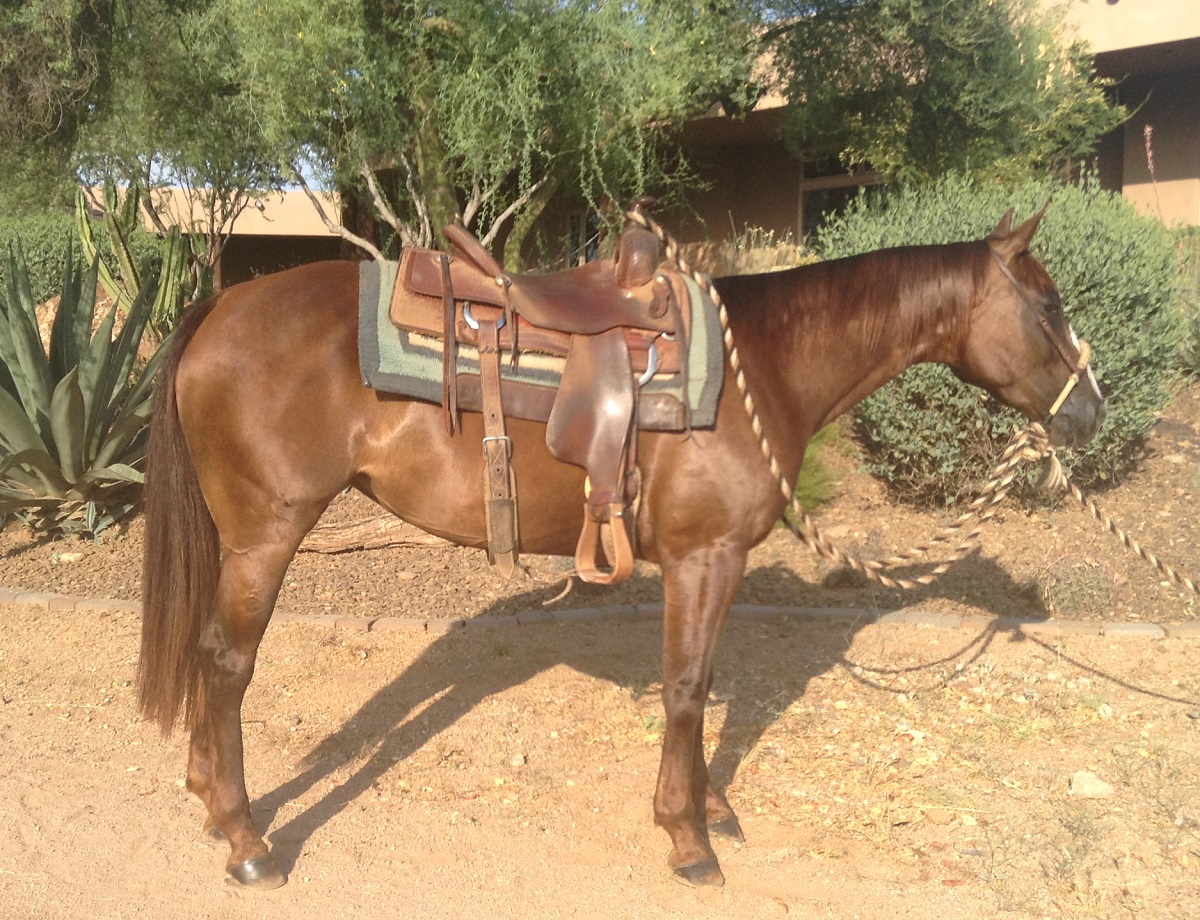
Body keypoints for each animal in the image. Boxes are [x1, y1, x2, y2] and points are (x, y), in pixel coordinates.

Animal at [136, 206, 1105, 889]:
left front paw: (712, 807)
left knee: (207, 658)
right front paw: (689, 838)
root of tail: (219, 303)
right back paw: (248, 842)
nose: (1090, 414)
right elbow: (685, 689)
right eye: (1049, 305)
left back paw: (210, 802)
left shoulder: (716, 565)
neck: (764, 366)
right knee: (226, 664)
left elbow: (702, 685)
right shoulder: (705, 558)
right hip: (267, 535)